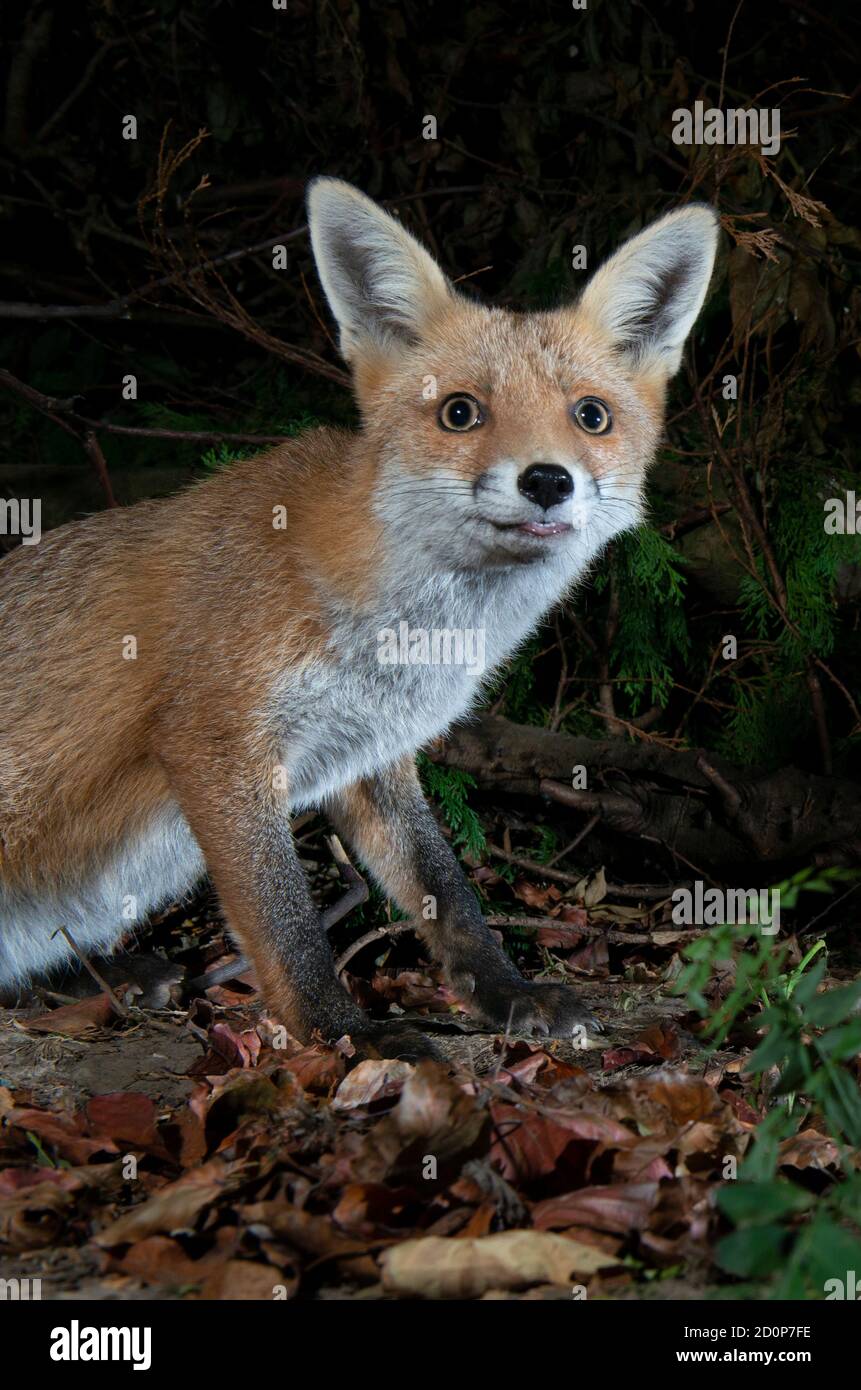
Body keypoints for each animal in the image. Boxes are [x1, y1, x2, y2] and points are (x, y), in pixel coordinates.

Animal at [0, 179, 718, 1056]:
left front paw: (507, 994)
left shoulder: (372, 753)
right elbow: (287, 926)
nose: (548, 481)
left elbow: (447, 890)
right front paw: (344, 1033)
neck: (406, 635)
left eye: (591, 416)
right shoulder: (216, 740)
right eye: (458, 413)